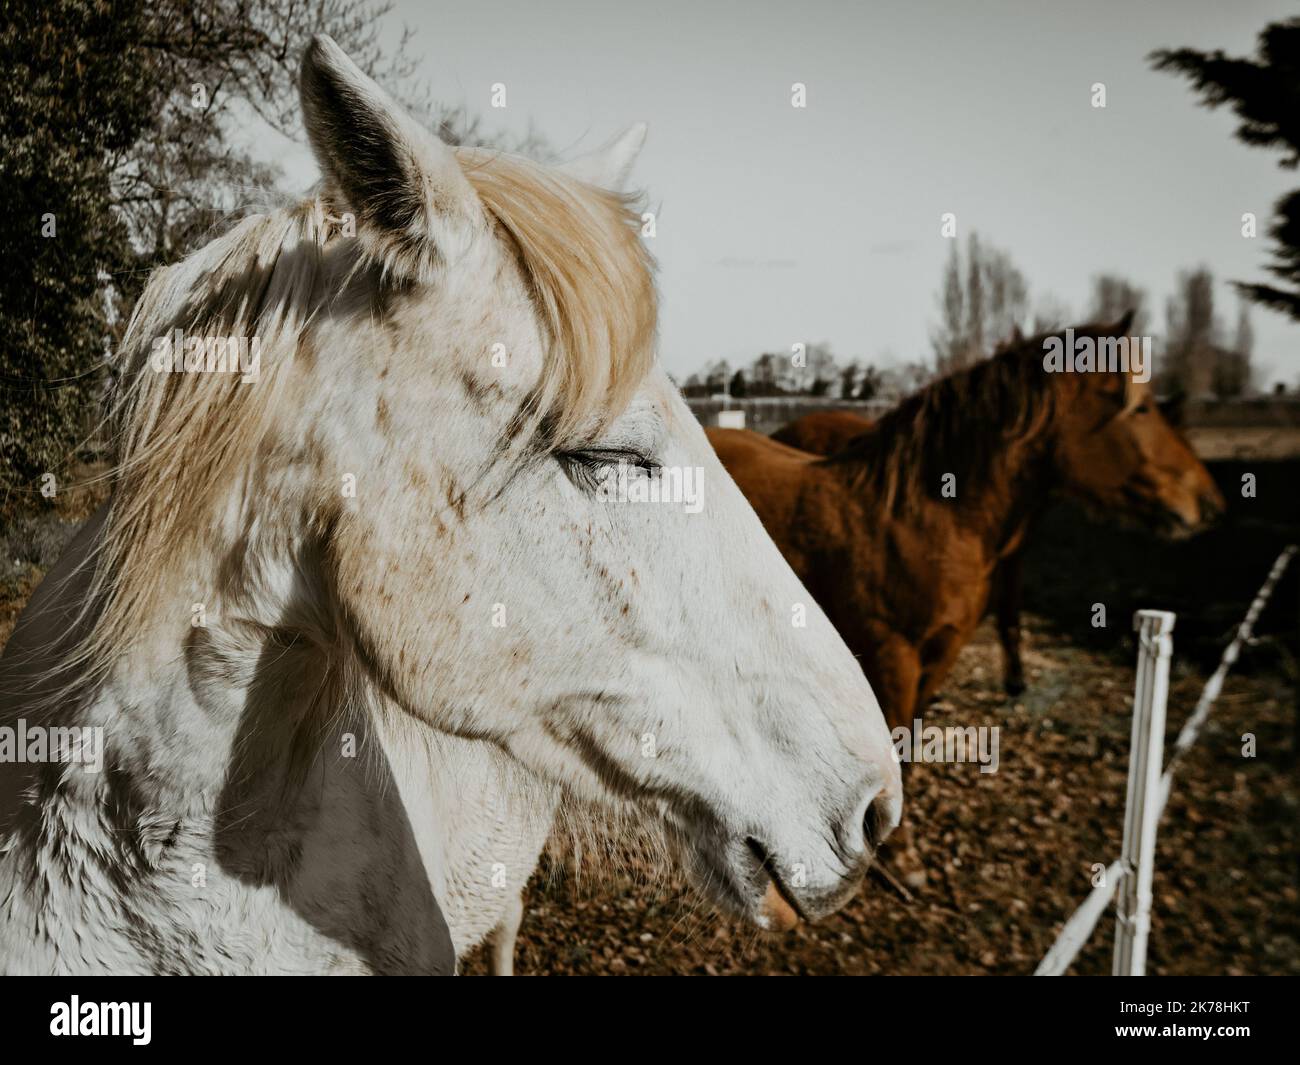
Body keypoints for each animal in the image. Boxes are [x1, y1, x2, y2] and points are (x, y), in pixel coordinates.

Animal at [708, 319, 1224, 882]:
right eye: (1142, 407)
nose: (1209, 503)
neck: (919, 517)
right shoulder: (894, 656)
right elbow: (897, 740)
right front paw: (899, 854)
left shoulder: (940, 653)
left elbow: (910, 746)